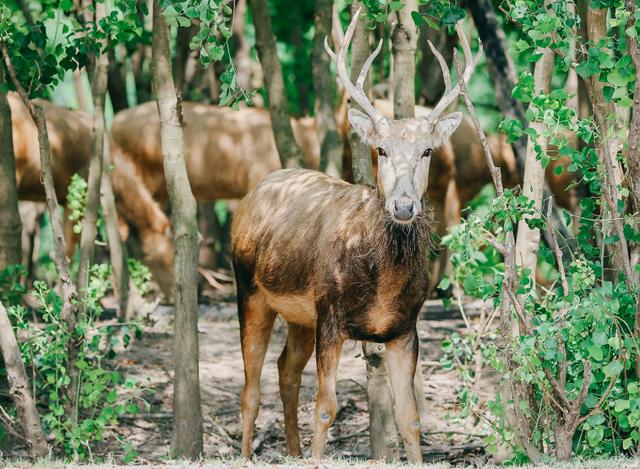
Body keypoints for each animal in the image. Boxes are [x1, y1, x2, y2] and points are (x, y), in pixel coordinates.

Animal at [230, 10, 478, 462]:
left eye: (427, 151)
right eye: (380, 149)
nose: (403, 206)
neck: (381, 284)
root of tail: (255, 190)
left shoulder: (404, 328)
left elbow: (410, 419)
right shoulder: (330, 313)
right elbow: (325, 408)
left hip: (299, 315)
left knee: (285, 370)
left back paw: (291, 451)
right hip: (249, 287)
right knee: (250, 390)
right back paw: (246, 455)